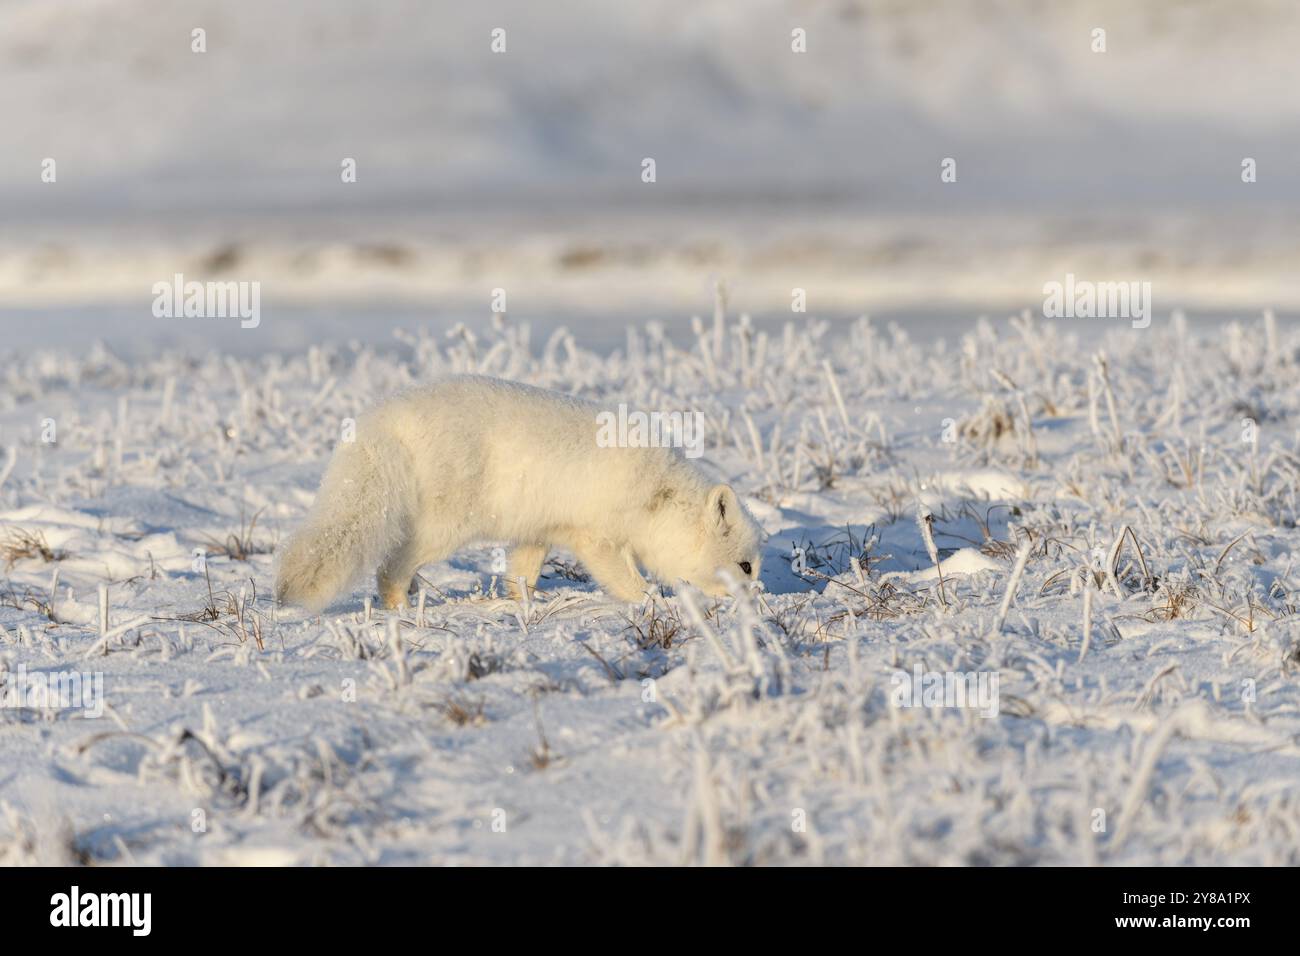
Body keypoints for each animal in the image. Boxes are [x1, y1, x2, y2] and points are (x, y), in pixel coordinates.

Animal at [275, 375, 765, 611]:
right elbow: (625, 578)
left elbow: (523, 572)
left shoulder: (541, 530)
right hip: (449, 522)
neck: (659, 498)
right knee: (391, 564)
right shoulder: (598, 536)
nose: (755, 601)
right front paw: (652, 602)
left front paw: (526, 603)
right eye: (744, 566)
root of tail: (383, 422)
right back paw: (400, 607)